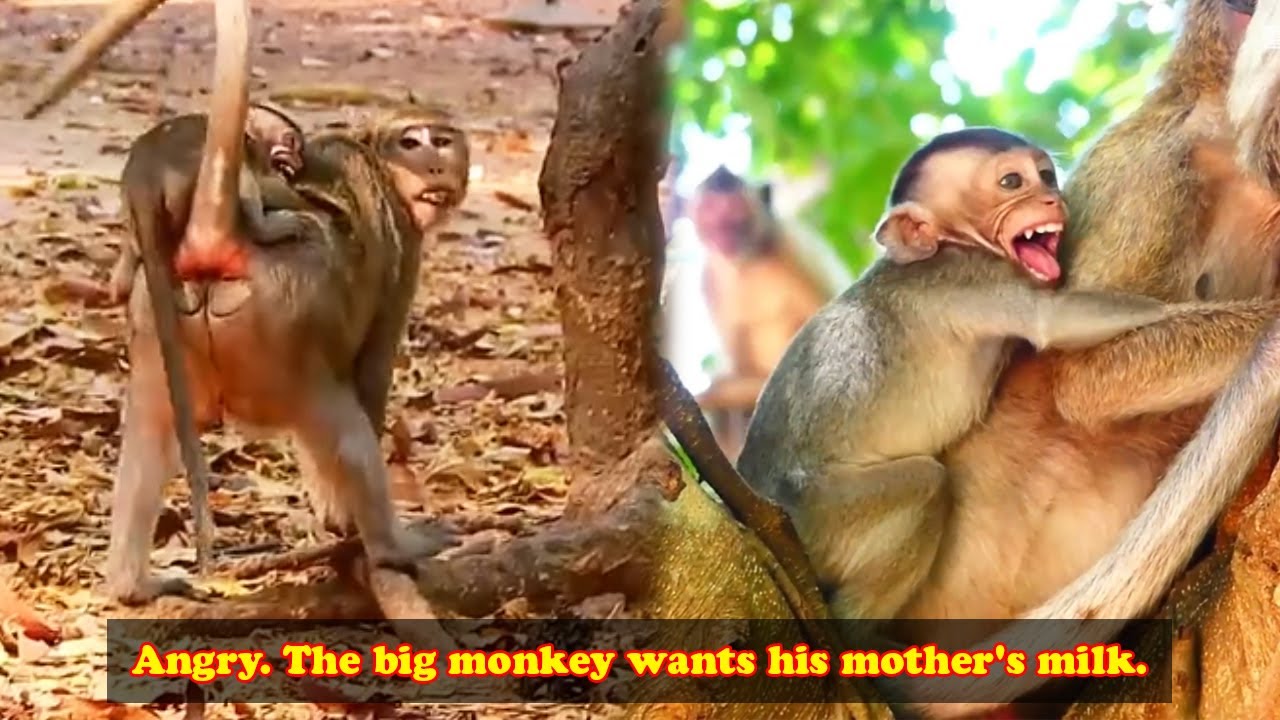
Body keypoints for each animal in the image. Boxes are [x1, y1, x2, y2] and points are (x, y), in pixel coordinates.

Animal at [735, 127, 1172, 624]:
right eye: (1011, 182)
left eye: (1045, 175)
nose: (1052, 198)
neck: (953, 243)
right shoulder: (968, 276)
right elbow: (1052, 319)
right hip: (815, 514)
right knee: (927, 485)